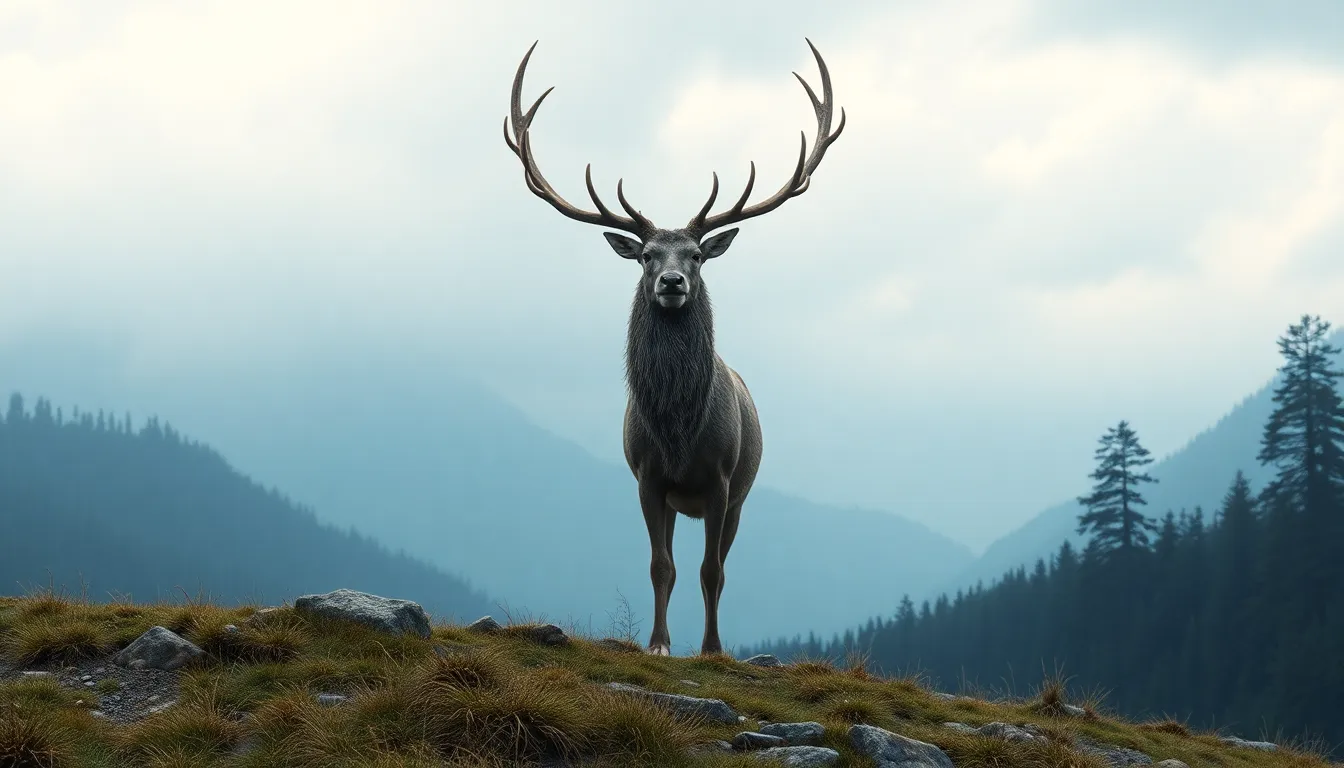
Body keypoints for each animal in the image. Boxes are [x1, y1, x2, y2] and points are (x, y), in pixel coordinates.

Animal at [503, 39, 844, 656]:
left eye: (697, 255)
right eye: (646, 255)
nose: (671, 281)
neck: (680, 431)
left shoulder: (721, 481)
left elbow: (712, 571)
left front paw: (711, 649)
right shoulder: (648, 478)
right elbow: (661, 566)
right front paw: (658, 644)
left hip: (738, 500)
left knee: (722, 565)